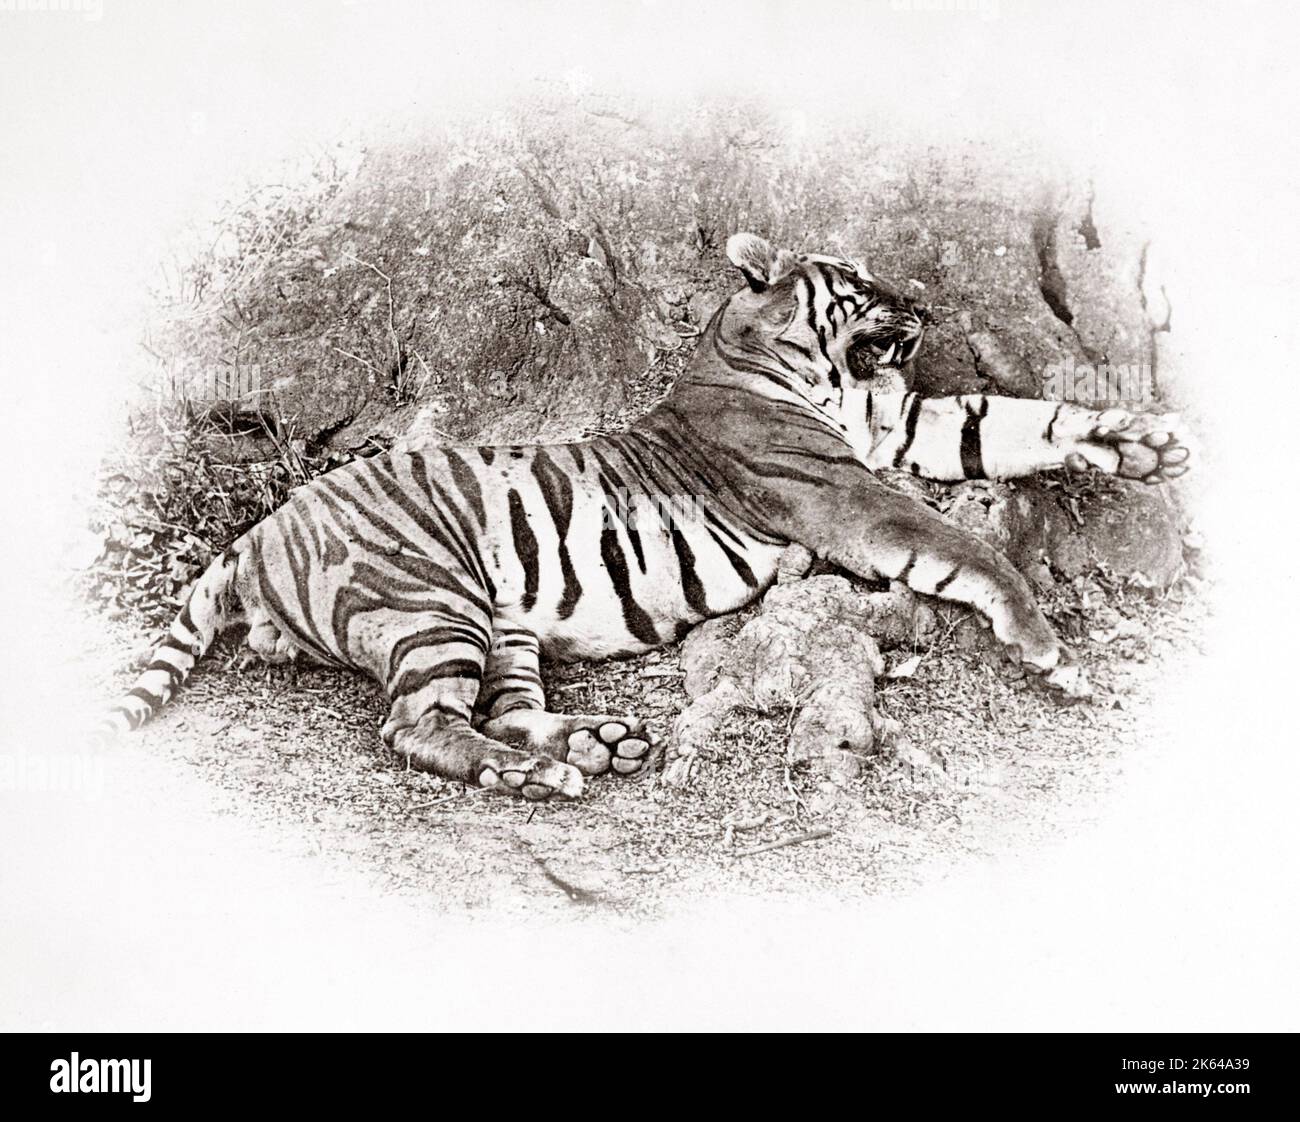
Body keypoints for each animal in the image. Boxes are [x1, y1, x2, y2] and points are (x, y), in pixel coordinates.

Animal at [103, 232, 1189, 801]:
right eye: (856, 283)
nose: (920, 297)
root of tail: (256, 532)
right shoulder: (851, 493)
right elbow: (969, 546)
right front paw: (1053, 659)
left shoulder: (901, 426)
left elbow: (1016, 419)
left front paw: (1145, 444)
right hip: (431, 604)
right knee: (417, 725)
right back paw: (533, 779)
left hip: (504, 624)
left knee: (509, 708)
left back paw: (602, 747)